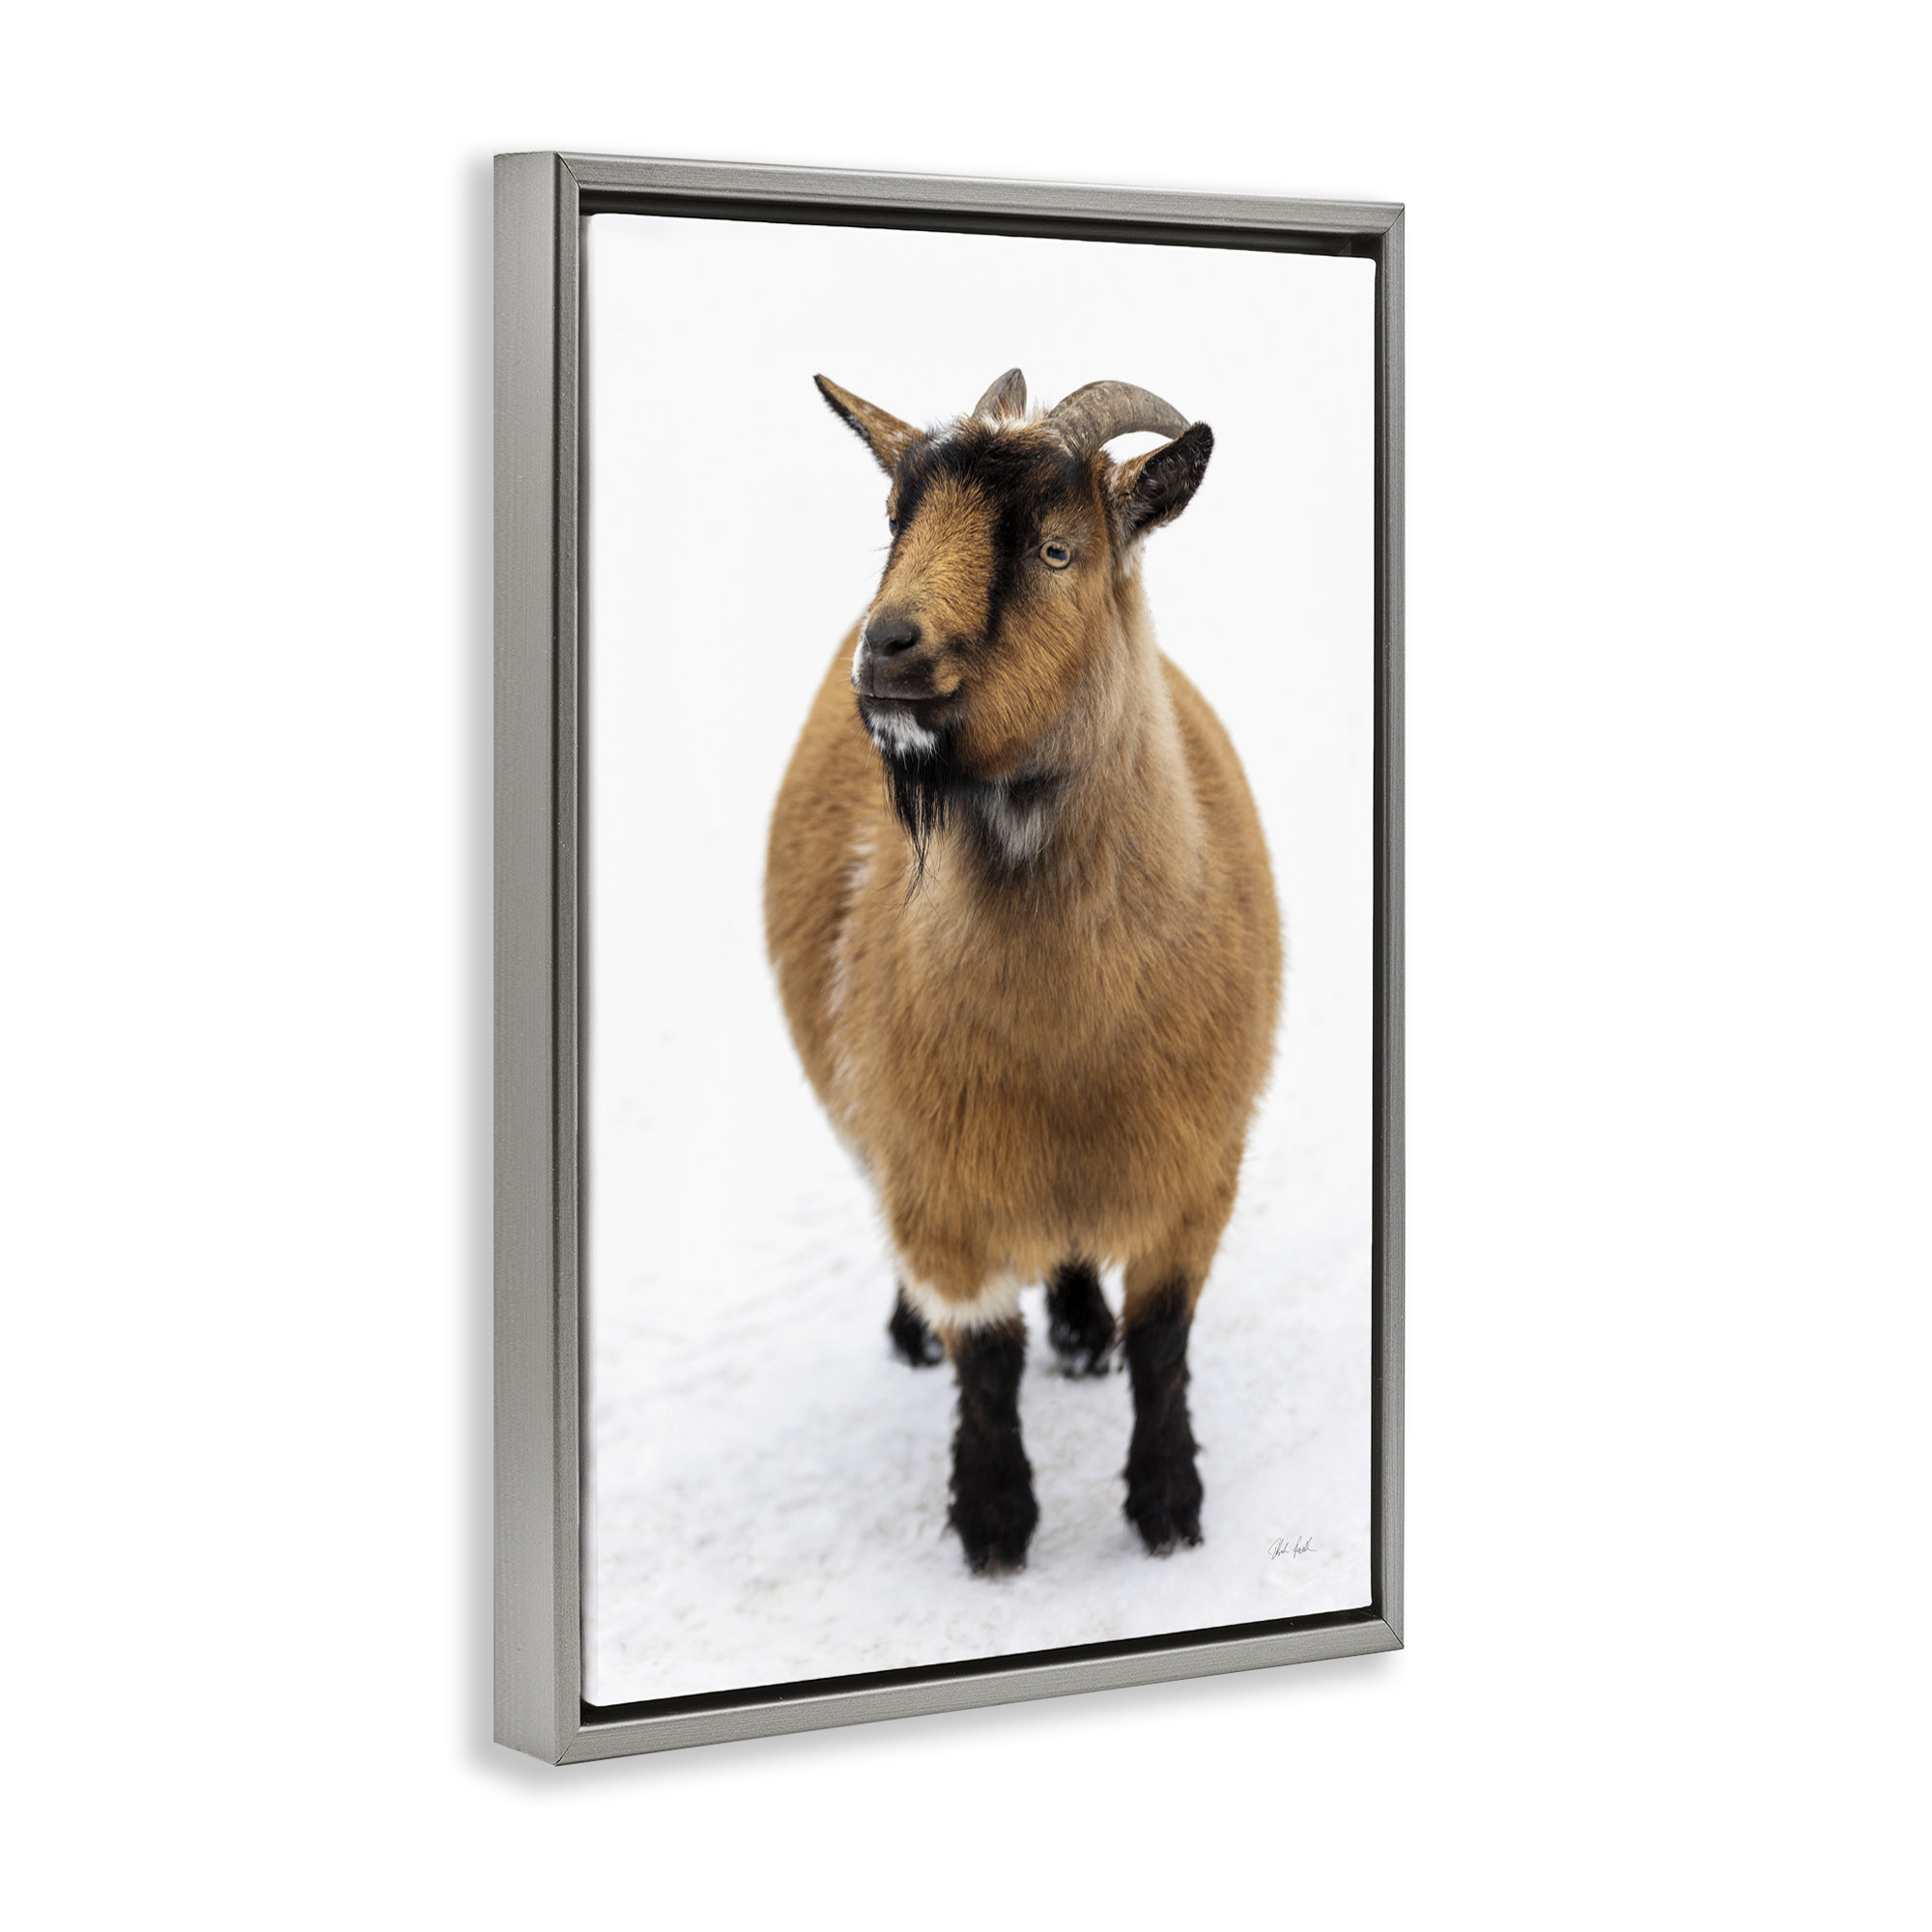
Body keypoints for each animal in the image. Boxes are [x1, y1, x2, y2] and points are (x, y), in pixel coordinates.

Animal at [764, 368, 1281, 1573]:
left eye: (1054, 549)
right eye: (894, 521)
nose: (886, 650)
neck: (1068, 1045)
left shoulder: (1194, 1167)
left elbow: (1162, 1340)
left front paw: (1168, 1507)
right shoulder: (943, 1178)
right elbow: (987, 1355)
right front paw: (994, 1521)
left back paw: (1082, 1328)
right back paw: (914, 1335)